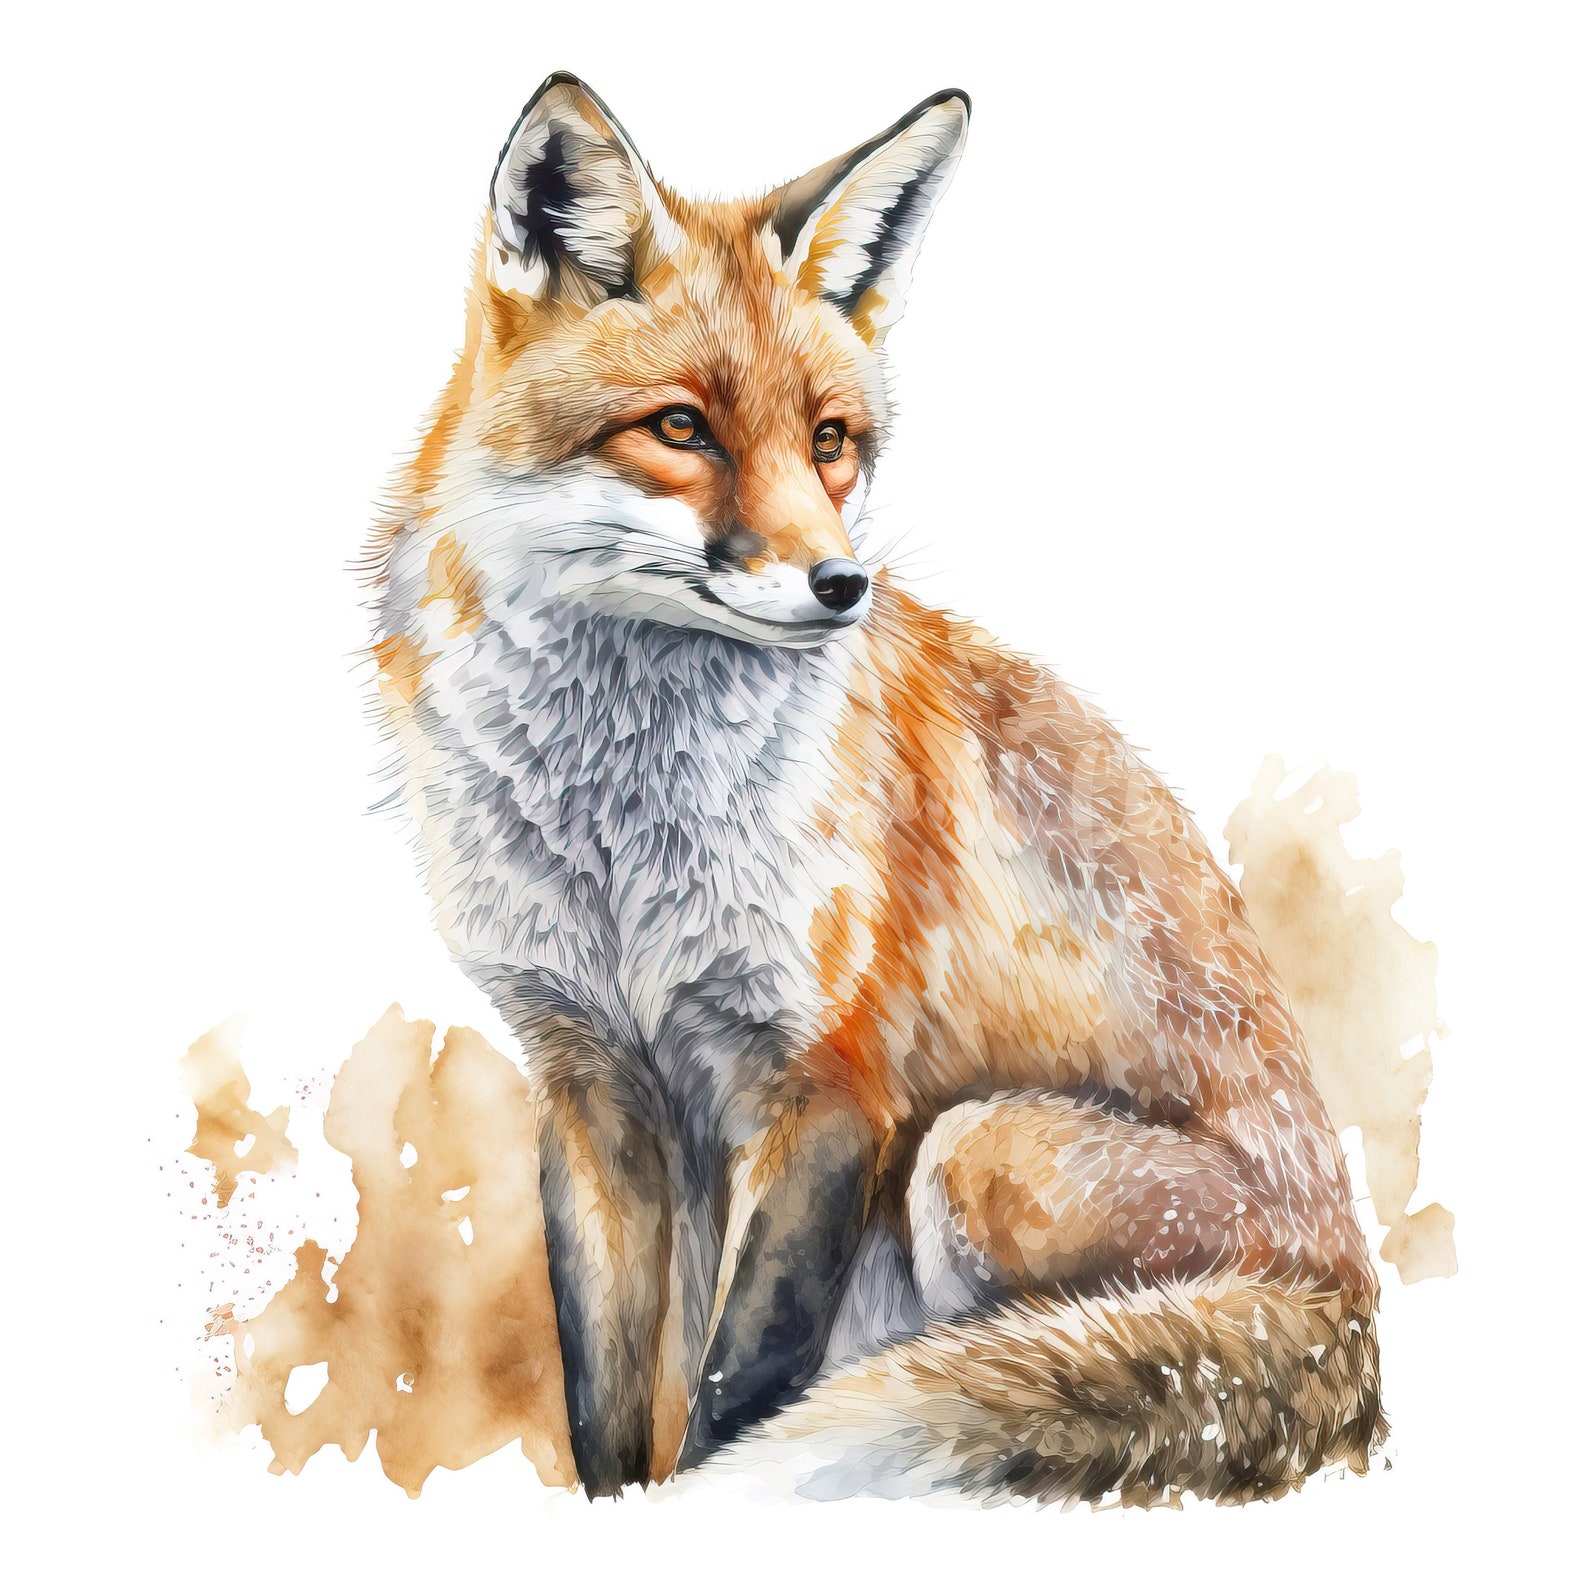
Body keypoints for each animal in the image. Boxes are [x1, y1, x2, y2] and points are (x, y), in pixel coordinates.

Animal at [368, 73, 1384, 1504]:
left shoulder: (830, 1087)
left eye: (831, 442)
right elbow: (605, 1403)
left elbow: (736, 1390)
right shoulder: (583, 1078)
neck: (622, 843)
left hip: (976, 1151)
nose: (840, 584)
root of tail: (1352, 1308)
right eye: (680, 428)